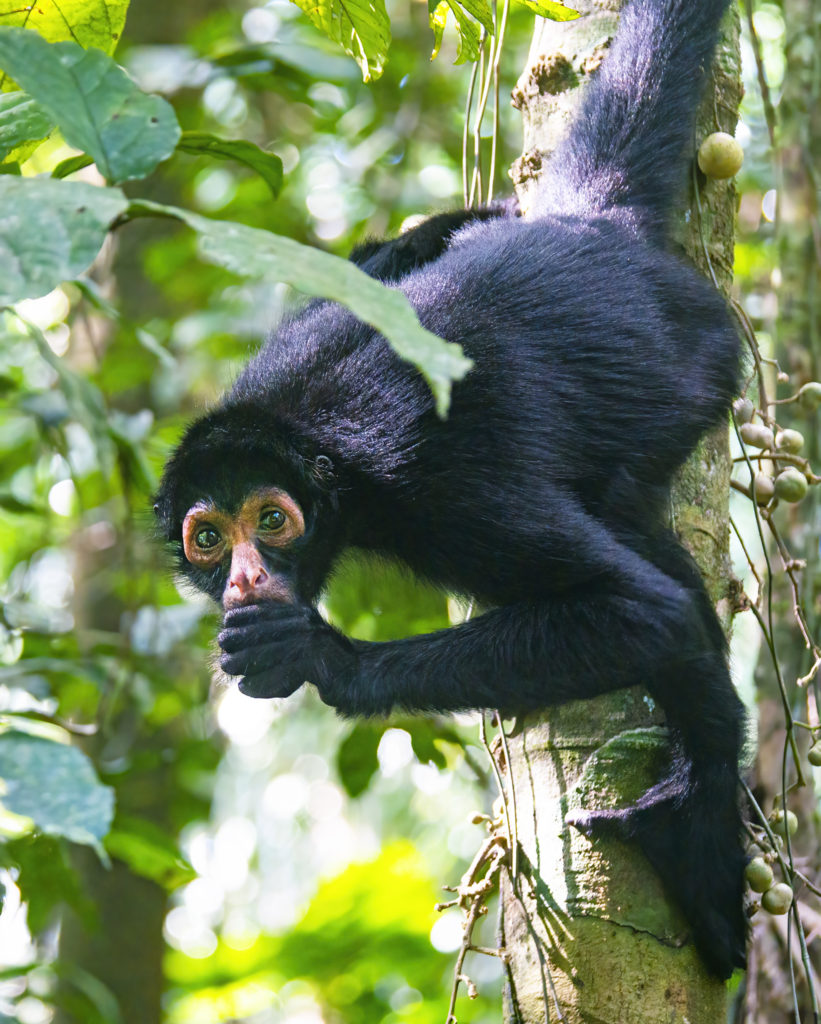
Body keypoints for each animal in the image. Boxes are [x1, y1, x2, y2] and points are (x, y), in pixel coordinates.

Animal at [156, 0, 746, 978]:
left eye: (269, 522)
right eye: (208, 538)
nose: (240, 577)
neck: (314, 444)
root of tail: (596, 235)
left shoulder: (432, 494)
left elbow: (644, 610)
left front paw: (320, 656)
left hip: (697, 372)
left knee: (643, 549)